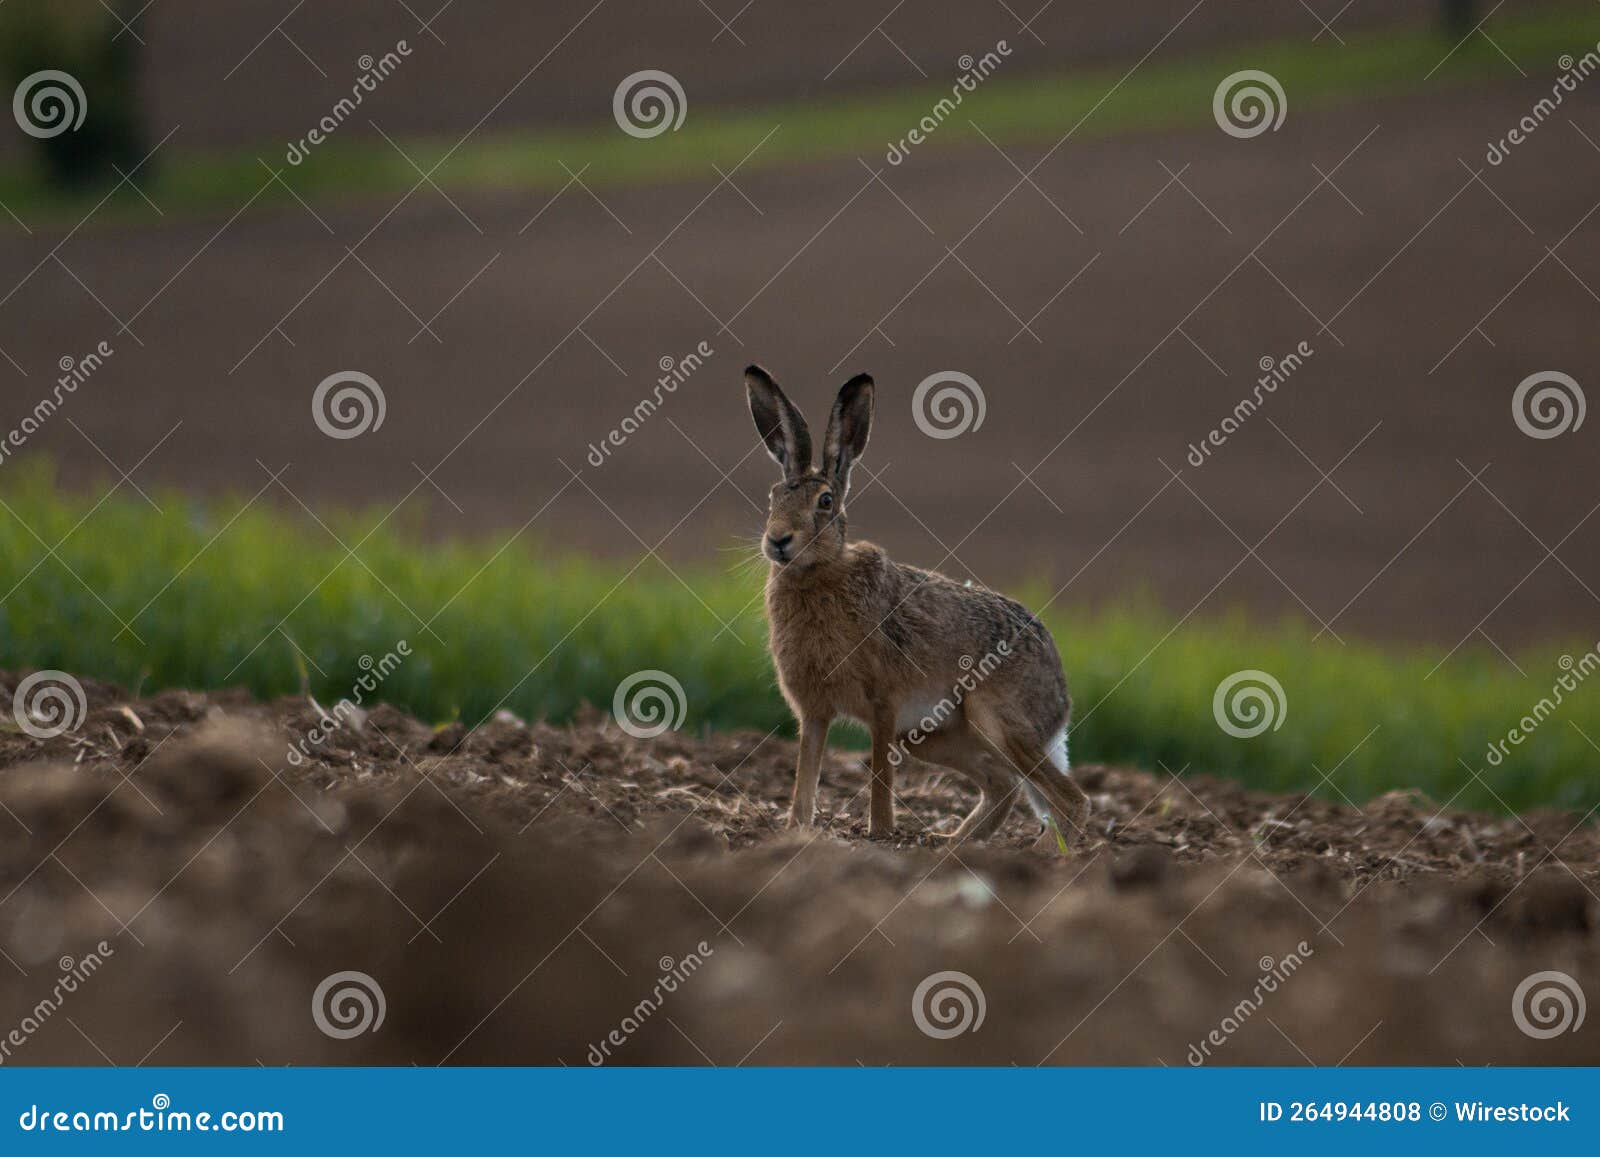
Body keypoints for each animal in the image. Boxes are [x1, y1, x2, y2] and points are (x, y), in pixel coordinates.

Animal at [744, 364, 1089, 849]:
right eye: (774, 497)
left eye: (825, 502)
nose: (778, 540)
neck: (821, 573)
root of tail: (1059, 688)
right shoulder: (813, 712)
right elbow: (804, 776)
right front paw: (795, 831)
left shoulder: (884, 706)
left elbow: (879, 777)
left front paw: (880, 833)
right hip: (938, 736)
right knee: (1002, 786)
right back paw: (953, 845)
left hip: (994, 719)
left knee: (1071, 799)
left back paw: (1036, 853)